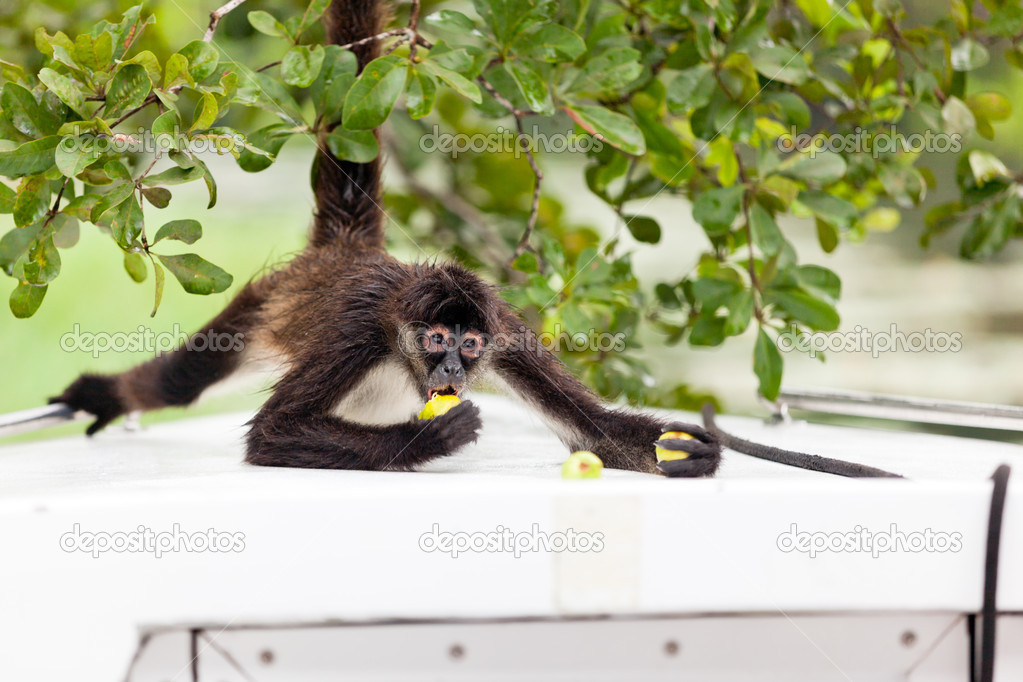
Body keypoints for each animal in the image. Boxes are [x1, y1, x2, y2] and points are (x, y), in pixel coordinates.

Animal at [49, 0, 722, 478]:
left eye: (469, 345)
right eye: (436, 340)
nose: (450, 365)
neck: (403, 350)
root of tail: (349, 251)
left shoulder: (507, 334)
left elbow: (597, 430)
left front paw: (689, 452)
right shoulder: (356, 335)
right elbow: (272, 432)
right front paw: (424, 439)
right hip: (270, 297)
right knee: (182, 383)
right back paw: (110, 396)